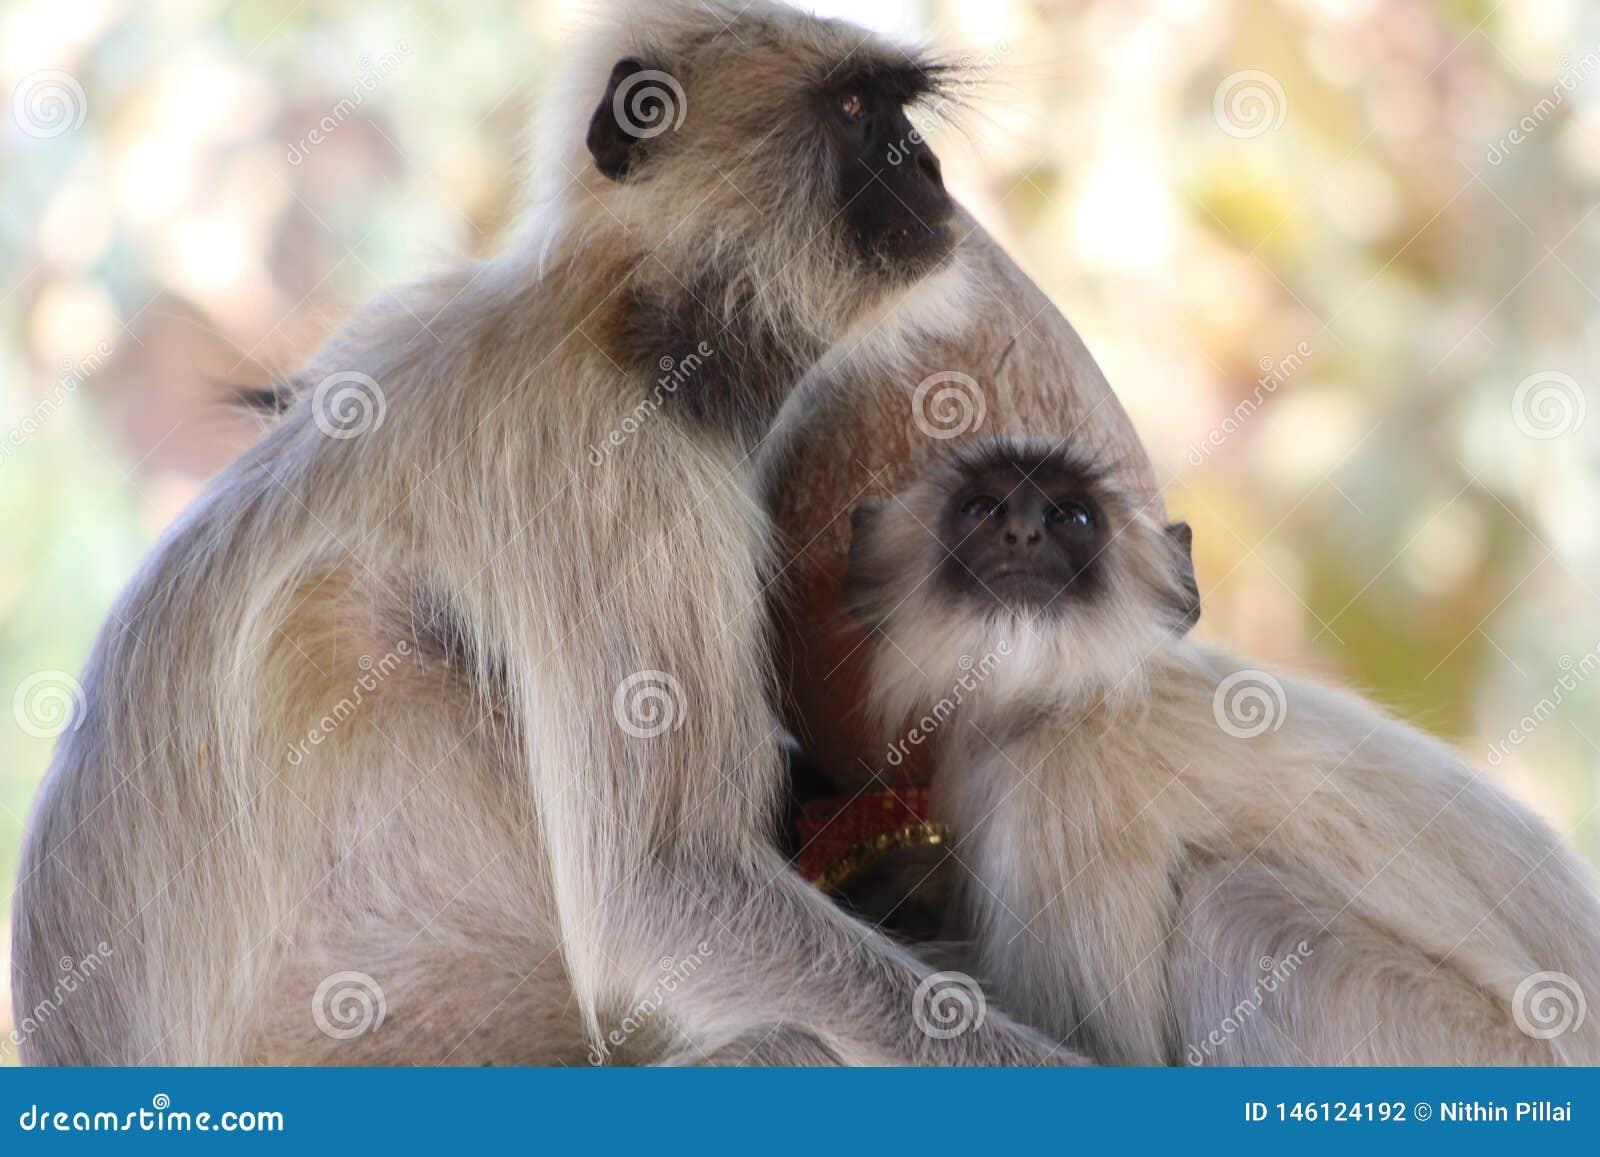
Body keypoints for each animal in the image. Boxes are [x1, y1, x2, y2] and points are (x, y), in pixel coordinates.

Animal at [11, 1, 1083, 1066]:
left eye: (899, 114)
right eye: (859, 112)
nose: (927, 169)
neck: (623, 316)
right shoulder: (607, 461)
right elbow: (665, 891)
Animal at [842, 435, 1600, 1066]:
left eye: (1071, 518)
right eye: (982, 507)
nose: (1022, 534)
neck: (1067, 695)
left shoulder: (1070, 789)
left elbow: (1111, 1059)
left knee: (1234, 909)